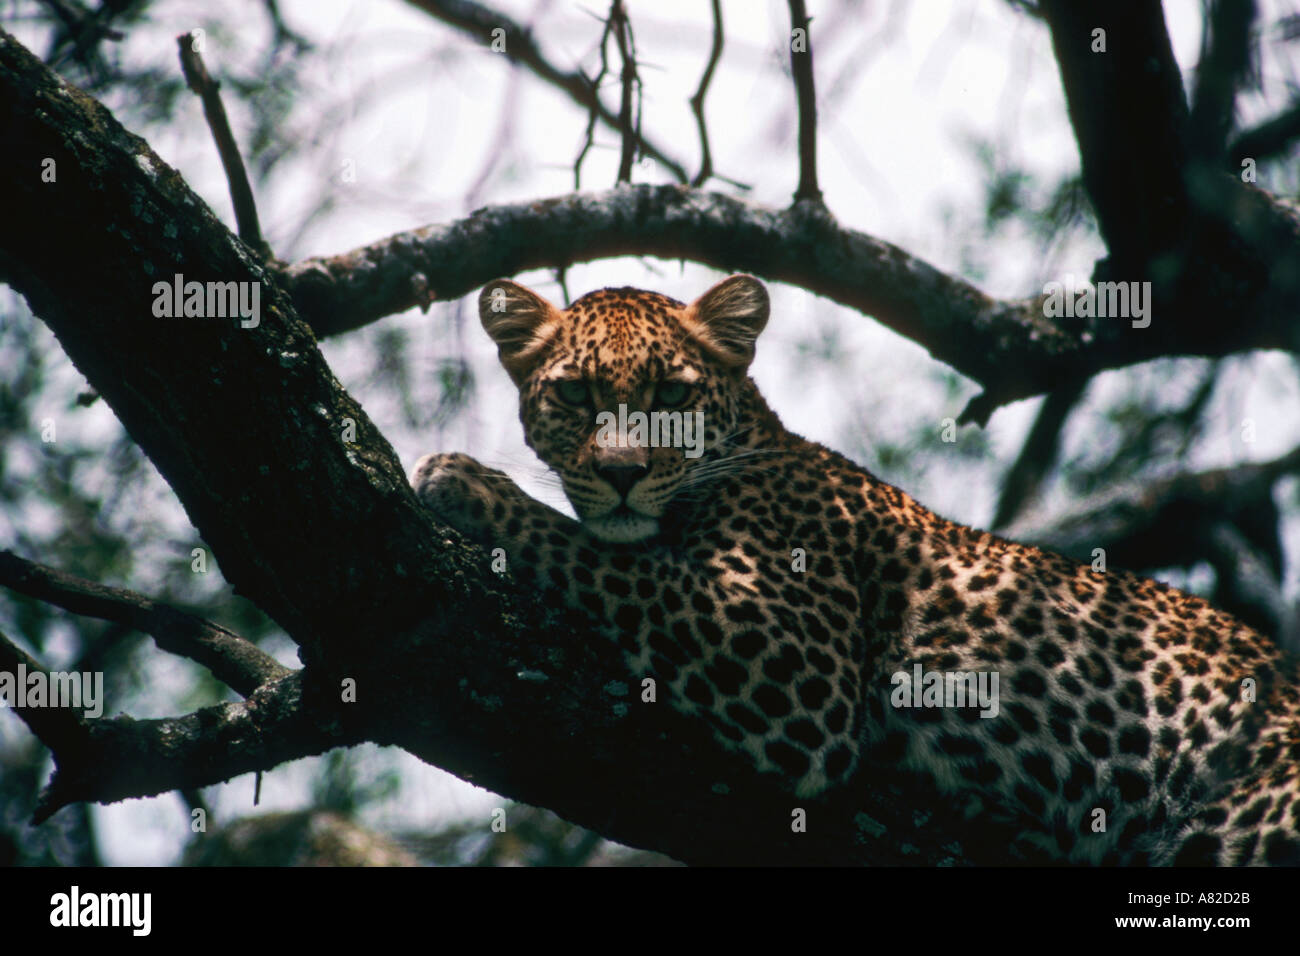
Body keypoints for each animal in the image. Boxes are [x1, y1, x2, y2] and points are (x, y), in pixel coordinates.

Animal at [412, 273, 1300, 865]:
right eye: (574, 396)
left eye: (671, 393)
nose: (623, 472)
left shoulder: (792, 660)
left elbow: (599, 555)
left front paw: (464, 482)